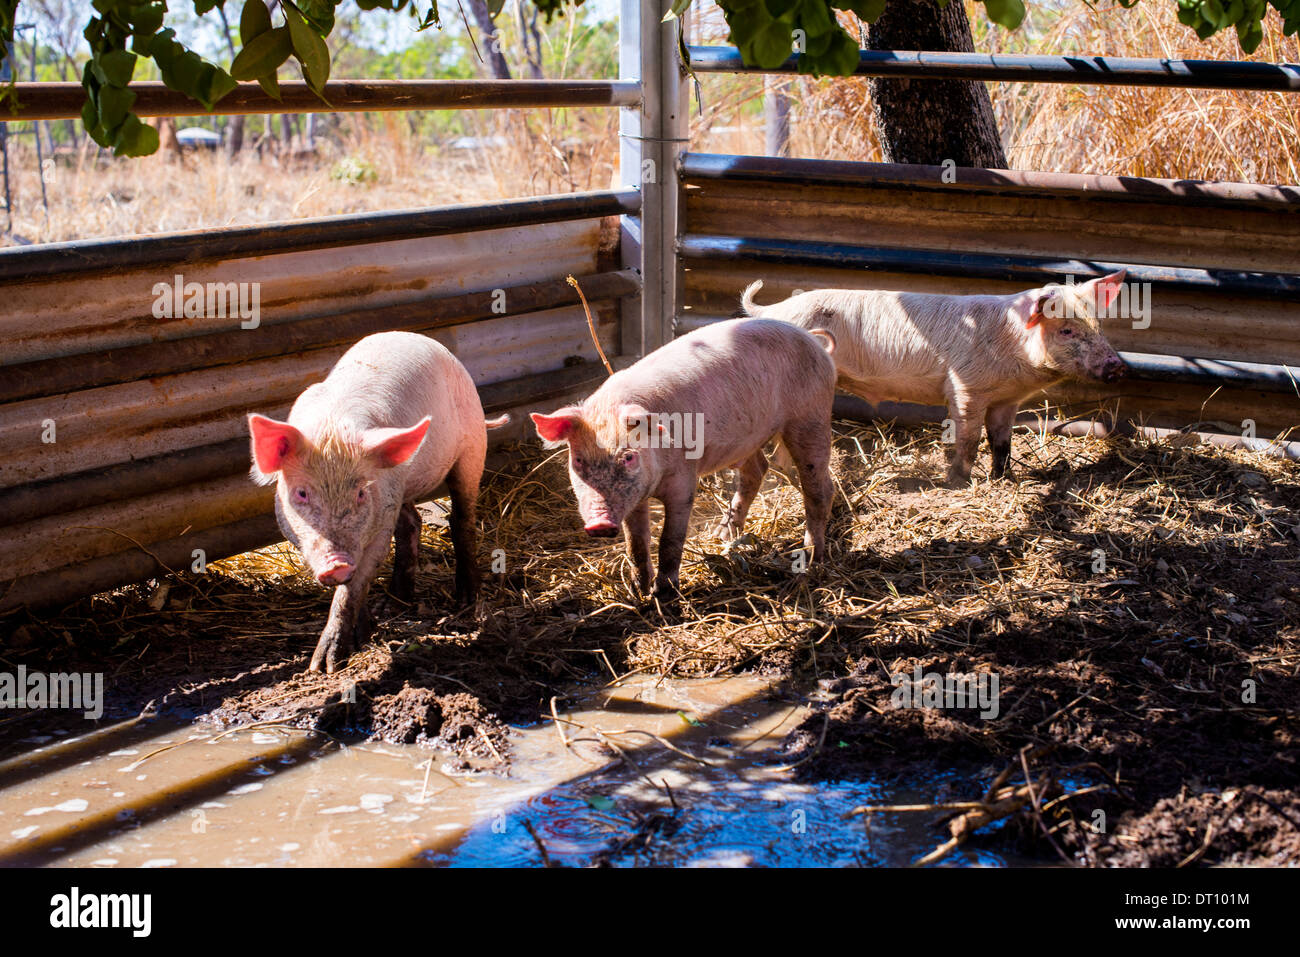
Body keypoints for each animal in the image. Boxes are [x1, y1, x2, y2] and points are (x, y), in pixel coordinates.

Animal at [247, 331, 508, 673]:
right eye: (301, 493)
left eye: (360, 492)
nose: (337, 562)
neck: (332, 430)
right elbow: (356, 583)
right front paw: (365, 634)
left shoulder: (378, 530)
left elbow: (353, 587)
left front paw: (324, 666)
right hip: (400, 488)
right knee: (412, 522)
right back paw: (393, 605)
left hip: (472, 446)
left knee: (461, 519)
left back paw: (465, 600)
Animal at [530, 318, 837, 597]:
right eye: (578, 461)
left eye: (628, 457)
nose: (599, 523)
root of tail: (811, 339)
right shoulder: (634, 497)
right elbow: (636, 542)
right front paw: (639, 590)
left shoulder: (684, 479)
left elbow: (670, 538)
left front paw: (665, 594)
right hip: (748, 439)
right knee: (757, 471)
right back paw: (722, 535)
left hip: (810, 416)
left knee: (820, 488)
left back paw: (812, 559)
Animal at [742, 271, 1129, 485]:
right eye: (1066, 330)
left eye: (1097, 325)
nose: (1119, 366)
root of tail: (771, 310)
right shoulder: (966, 385)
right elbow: (969, 437)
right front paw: (958, 481)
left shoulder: (1007, 400)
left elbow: (1002, 442)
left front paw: (1005, 478)